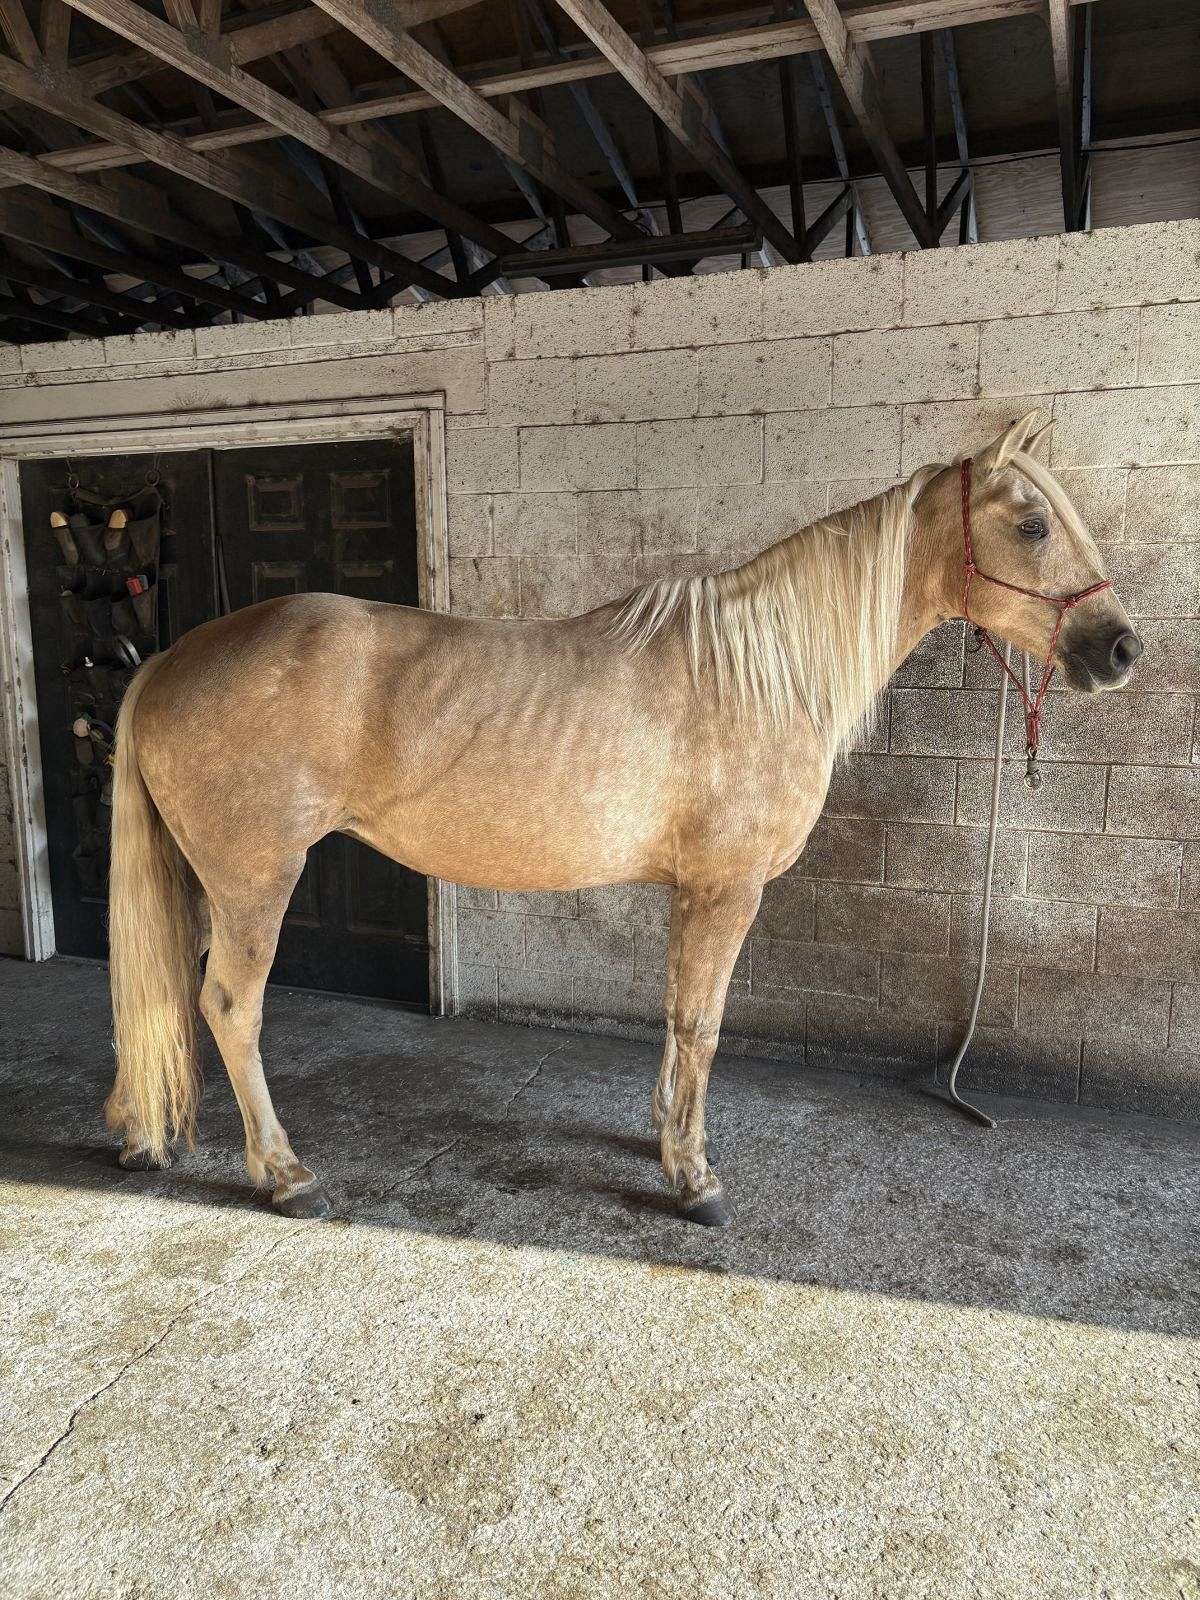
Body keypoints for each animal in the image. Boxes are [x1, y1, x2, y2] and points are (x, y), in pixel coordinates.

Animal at [104, 411, 1141, 1227]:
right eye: (1033, 523)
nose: (1121, 648)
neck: (760, 672)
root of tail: (170, 660)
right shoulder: (727, 889)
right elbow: (703, 1022)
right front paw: (695, 1180)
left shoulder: (691, 892)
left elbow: (677, 1016)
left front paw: (666, 1144)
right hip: (255, 880)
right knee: (230, 1006)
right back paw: (283, 1173)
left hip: (203, 882)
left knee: (167, 995)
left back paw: (148, 1137)